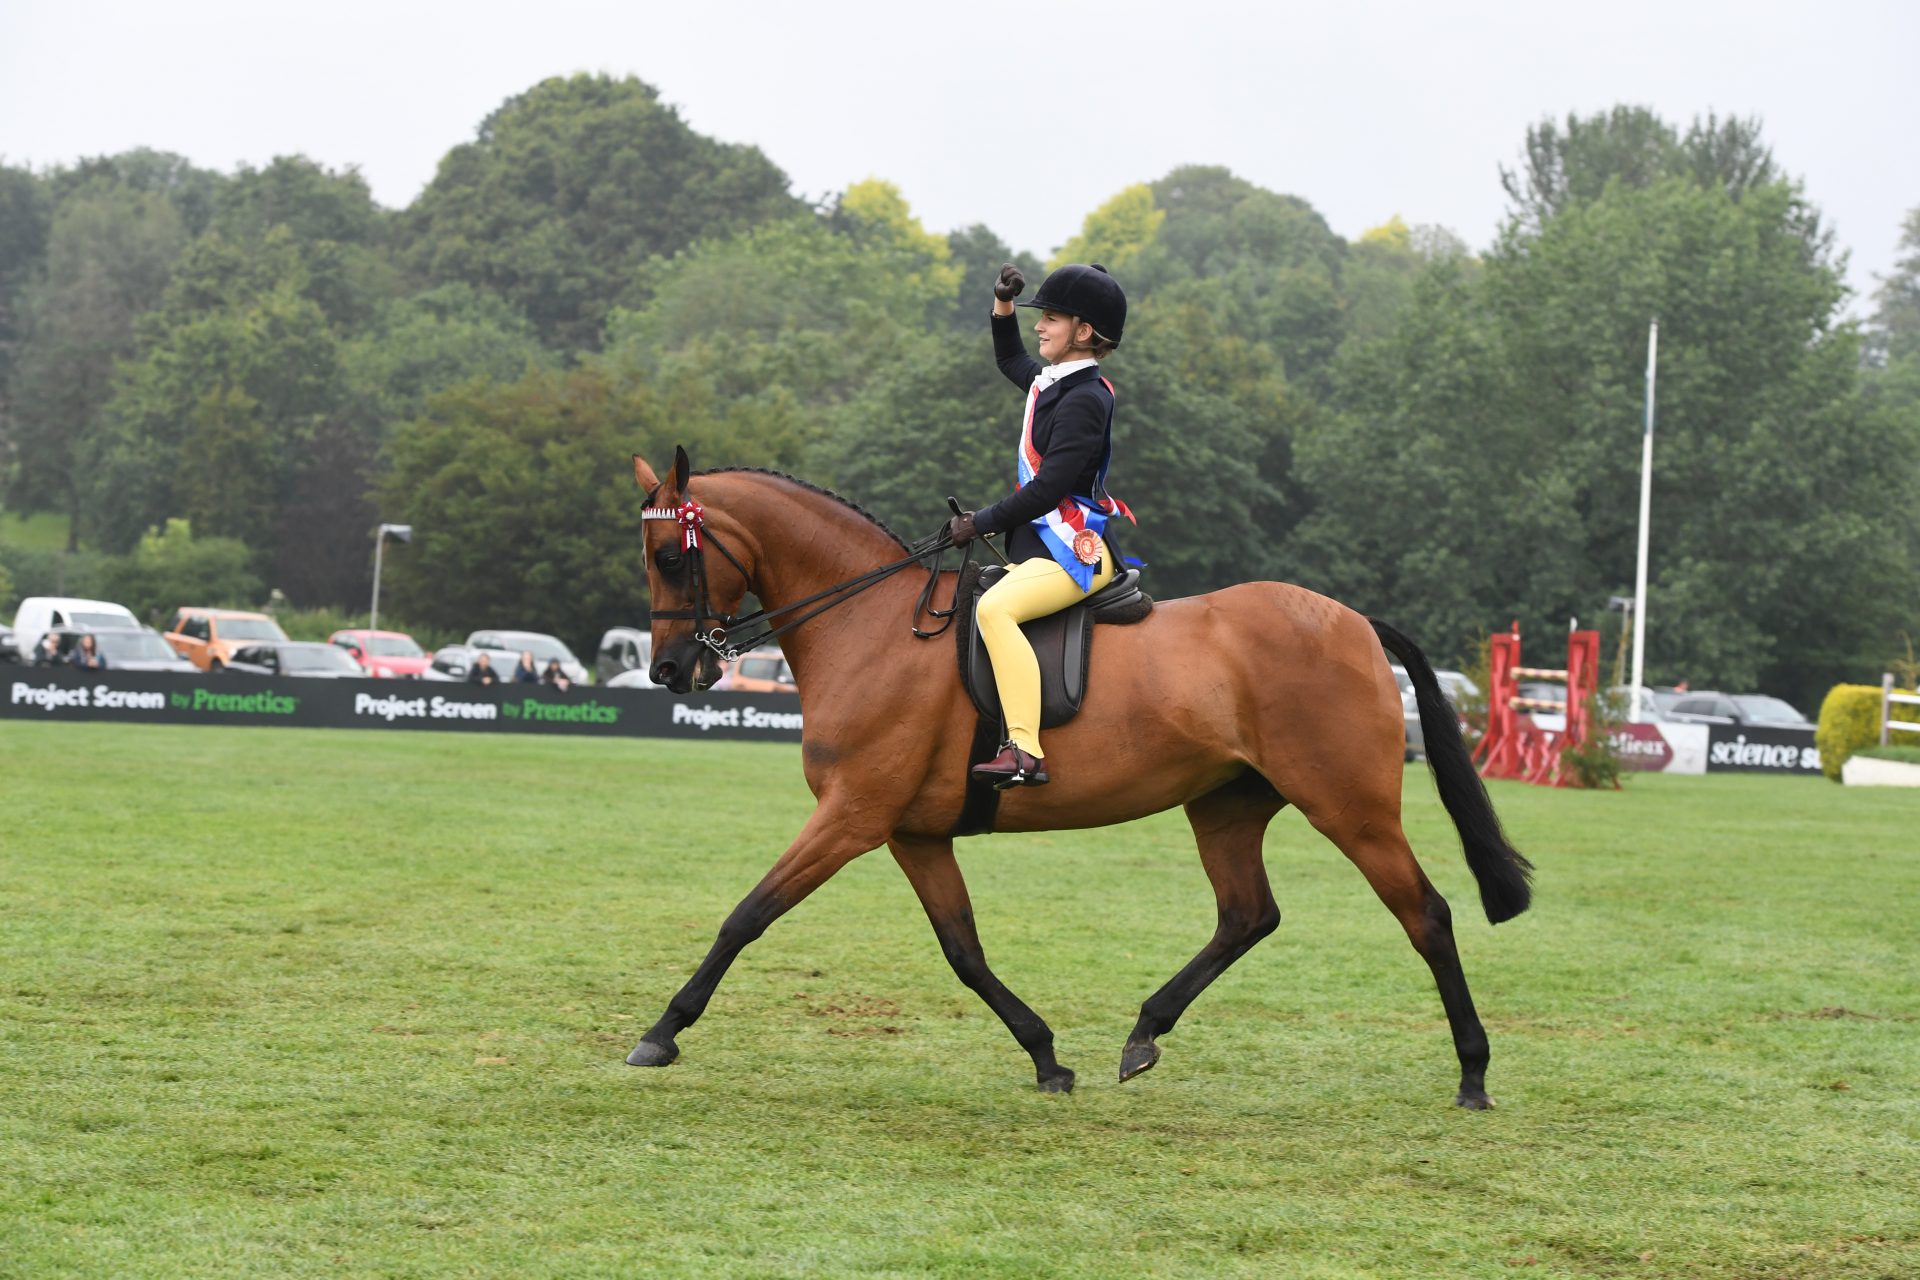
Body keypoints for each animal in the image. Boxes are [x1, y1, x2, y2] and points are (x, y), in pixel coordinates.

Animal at [625, 448, 1533, 1108]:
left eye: (672, 555)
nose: (670, 670)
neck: (872, 625)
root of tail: (1353, 622)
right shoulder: (912, 832)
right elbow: (964, 951)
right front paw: (1046, 1056)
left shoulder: (852, 816)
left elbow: (748, 916)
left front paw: (663, 1032)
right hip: (1226, 806)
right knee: (1248, 915)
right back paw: (1144, 1034)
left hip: (1350, 806)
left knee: (1425, 914)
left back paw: (1473, 1073)